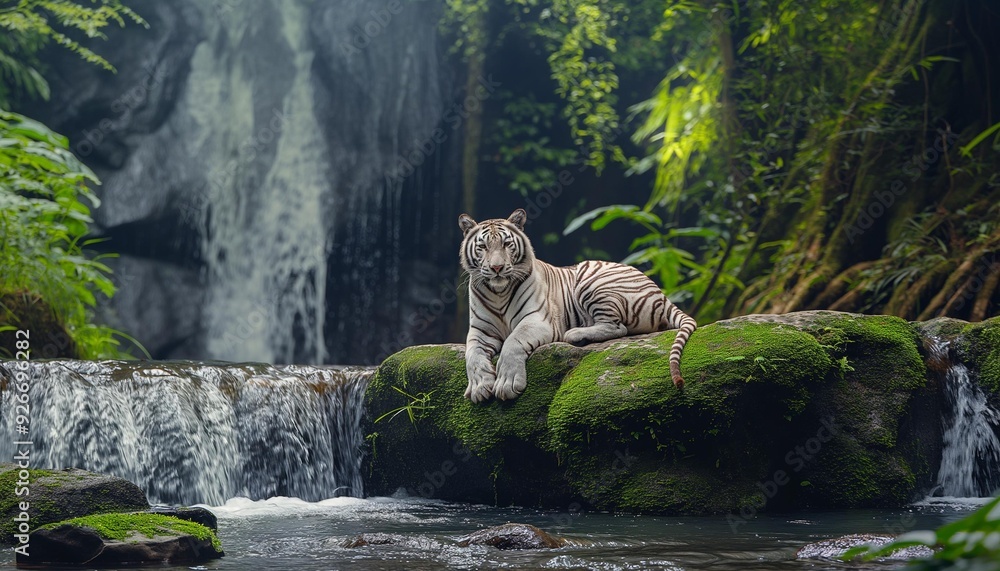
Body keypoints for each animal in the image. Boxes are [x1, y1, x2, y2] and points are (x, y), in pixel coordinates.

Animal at [459, 208, 698, 403]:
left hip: (590, 280)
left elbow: (512, 342)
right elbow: (472, 355)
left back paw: (575, 334)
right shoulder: (480, 330)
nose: (497, 268)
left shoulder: (537, 321)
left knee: (618, 327)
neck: (498, 292)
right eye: (483, 247)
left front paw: (507, 384)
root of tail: (661, 294)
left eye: (507, 244)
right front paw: (480, 387)